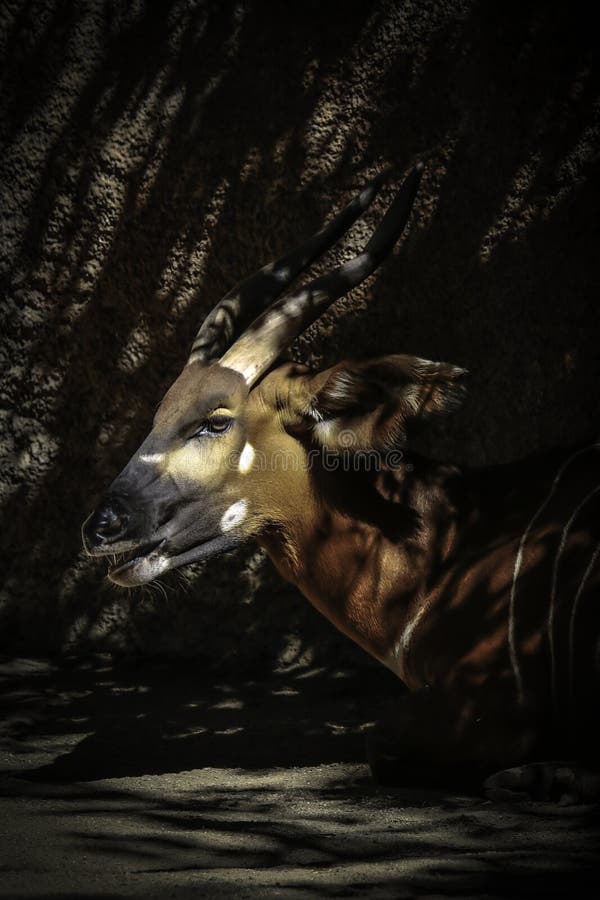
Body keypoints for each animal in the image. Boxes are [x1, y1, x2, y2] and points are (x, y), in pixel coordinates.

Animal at [83, 167, 600, 803]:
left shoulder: (496, 708)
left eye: (216, 420)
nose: (102, 526)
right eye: (158, 413)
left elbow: (380, 745)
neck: (452, 545)